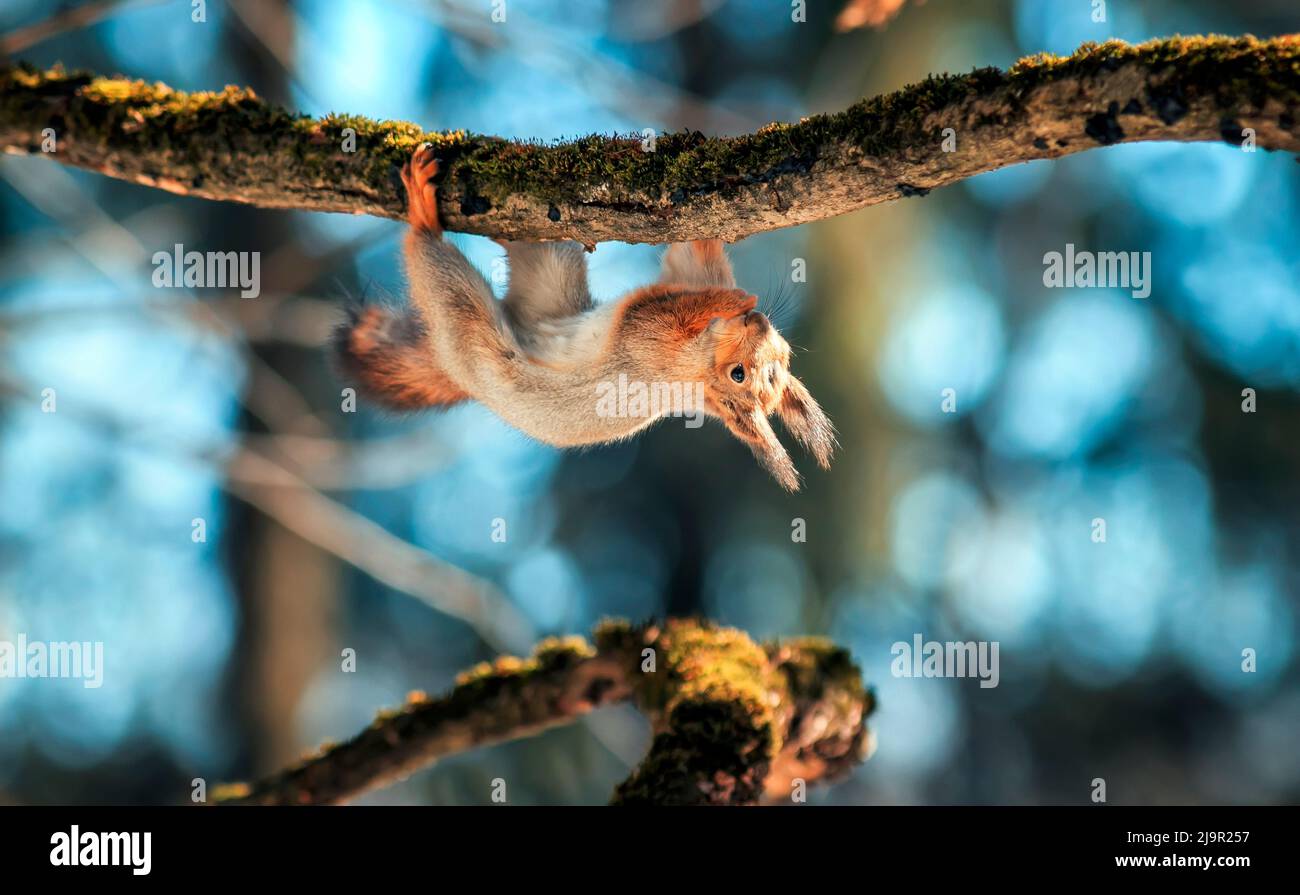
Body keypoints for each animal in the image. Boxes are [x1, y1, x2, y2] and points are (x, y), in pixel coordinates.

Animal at [335, 144, 835, 491]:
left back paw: (422, 214)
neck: (698, 360)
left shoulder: (647, 342)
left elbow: (677, 305)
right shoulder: (678, 290)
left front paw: (731, 296)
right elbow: (692, 256)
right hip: (554, 272)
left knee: (434, 262)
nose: (760, 323)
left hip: (462, 319)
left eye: (739, 376)